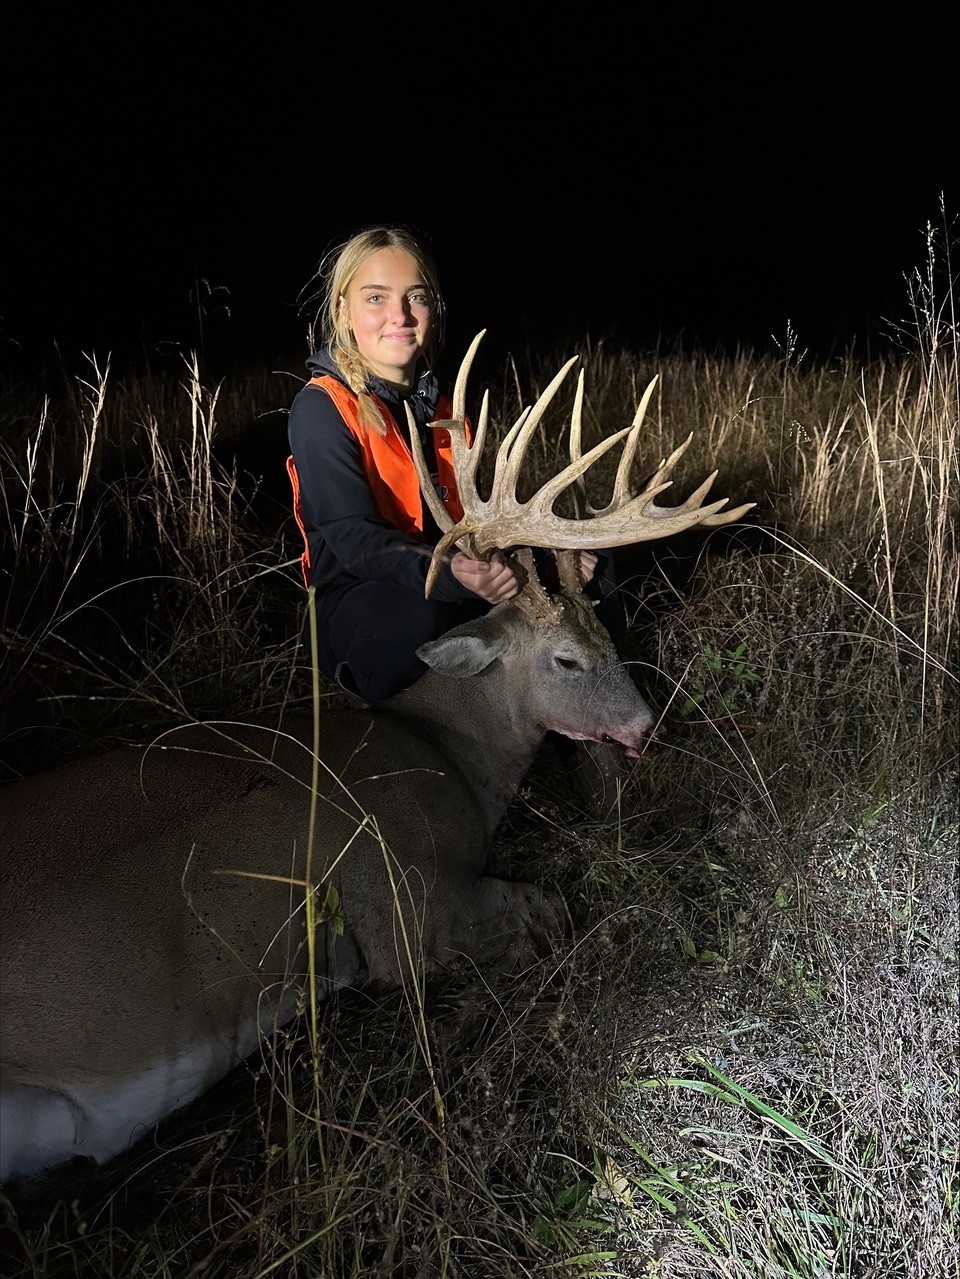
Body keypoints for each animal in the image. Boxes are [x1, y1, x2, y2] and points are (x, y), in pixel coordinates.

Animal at [0, 334, 753, 1184]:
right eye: (565, 658)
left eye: (607, 628)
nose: (644, 724)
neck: (444, 750)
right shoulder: (405, 904)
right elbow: (552, 910)